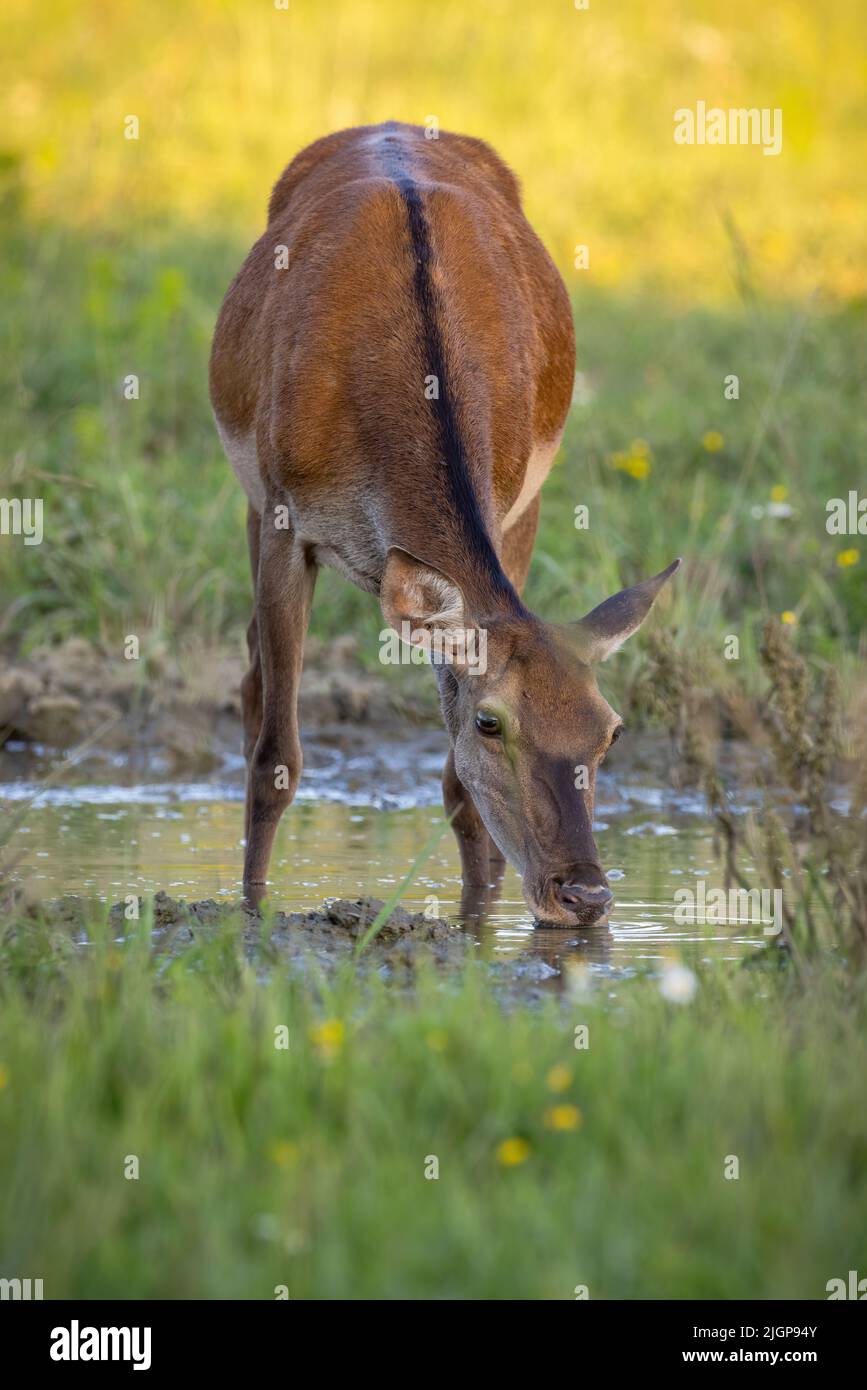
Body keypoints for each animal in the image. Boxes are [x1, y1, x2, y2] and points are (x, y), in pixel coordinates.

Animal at [209, 122, 680, 928]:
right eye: (492, 724)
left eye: (611, 730)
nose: (584, 893)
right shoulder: (282, 516)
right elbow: (278, 759)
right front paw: (251, 920)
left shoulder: (517, 504)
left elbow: (458, 787)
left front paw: (478, 927)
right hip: (247, 494)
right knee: (250, 677)